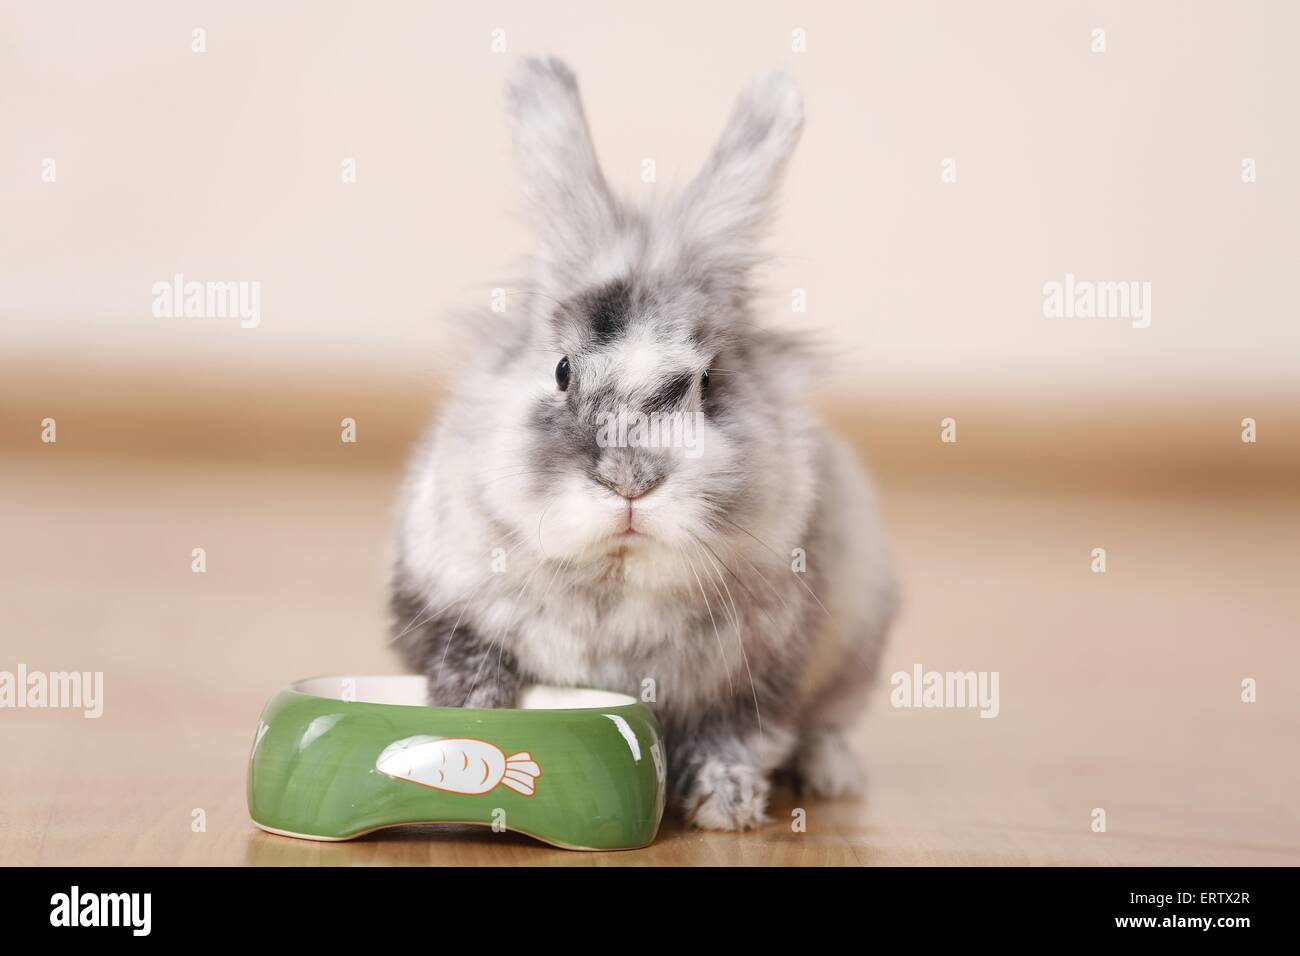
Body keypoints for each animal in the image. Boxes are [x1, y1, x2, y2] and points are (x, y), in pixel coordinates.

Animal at [389, 56, 898, 831]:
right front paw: (474, 710)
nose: (630, 480)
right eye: (562, 370)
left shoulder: (761, 680)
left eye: (708, 381)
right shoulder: (440, 608)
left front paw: (725, 806)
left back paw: (832, 775)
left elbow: (739, 735)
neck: (614, 581)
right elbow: (466, 659)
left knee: (827, 724)